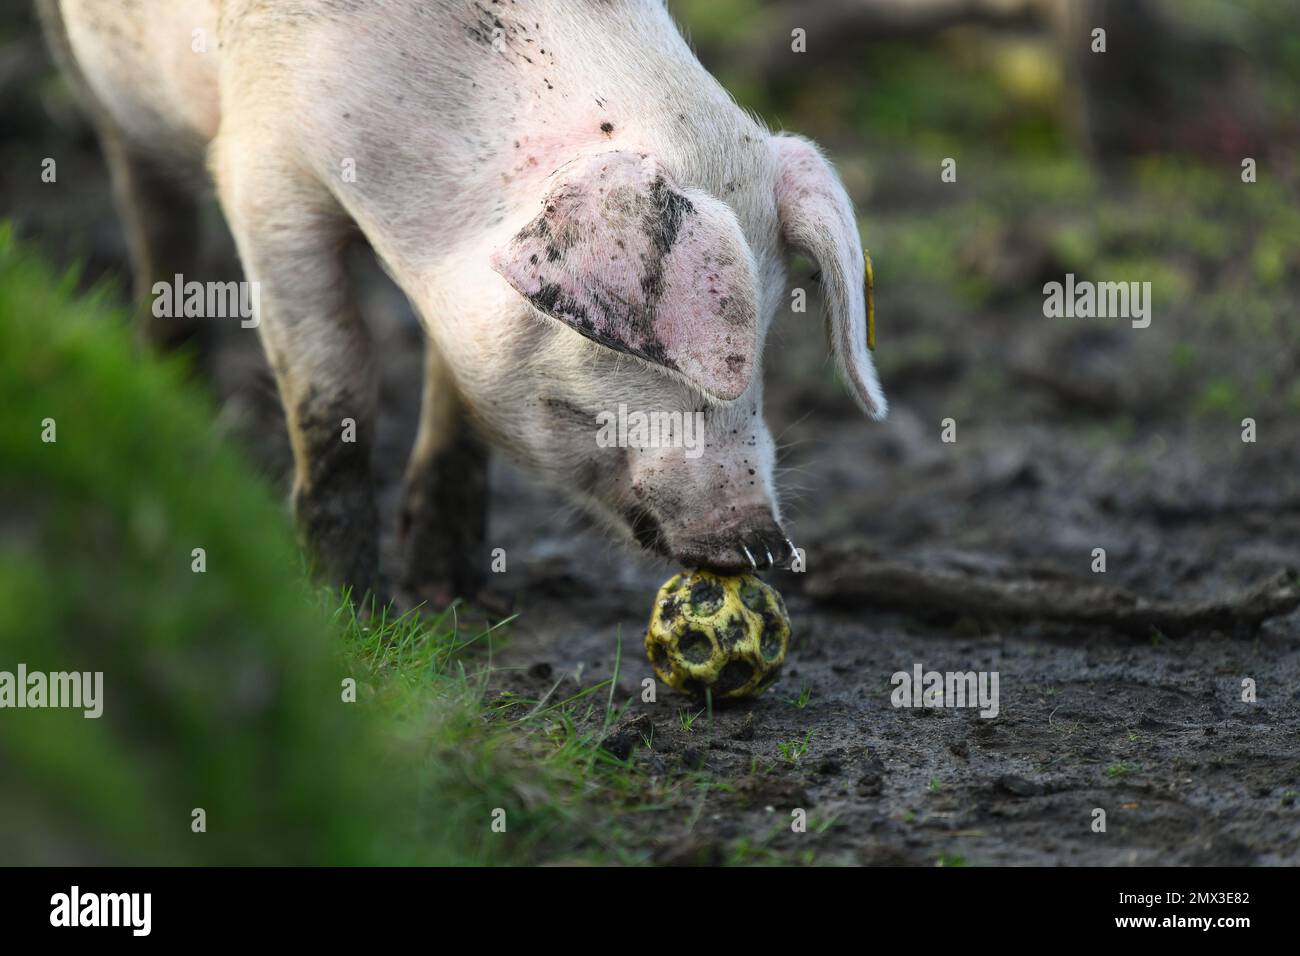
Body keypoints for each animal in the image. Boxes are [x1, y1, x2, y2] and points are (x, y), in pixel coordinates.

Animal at [38, 0, 887, 605]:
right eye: (644, 345)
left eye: (772, 326)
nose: (764, 545)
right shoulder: (264, 173)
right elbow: (333, 388)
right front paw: (350, 608)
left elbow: (455, 399)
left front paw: (450, 594)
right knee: (151, 210)